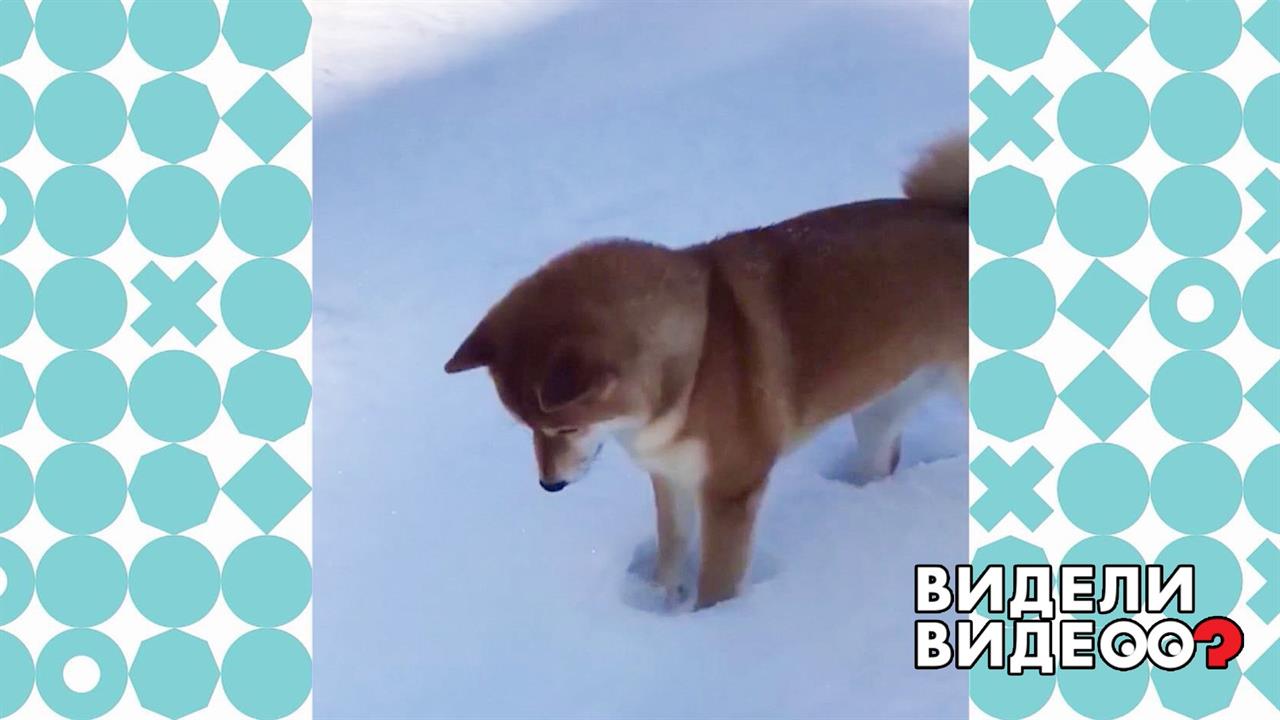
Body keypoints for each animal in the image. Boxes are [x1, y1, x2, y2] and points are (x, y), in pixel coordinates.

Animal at [445, 135, 968, 609]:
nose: (548, 485)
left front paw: (711, 629)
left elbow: (716, 583)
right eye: (526, 427)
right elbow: (671, 552)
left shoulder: (730, 490)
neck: (692, 364)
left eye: (565, 426)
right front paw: (665, 601)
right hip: (879, 412)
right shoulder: (670, 477)